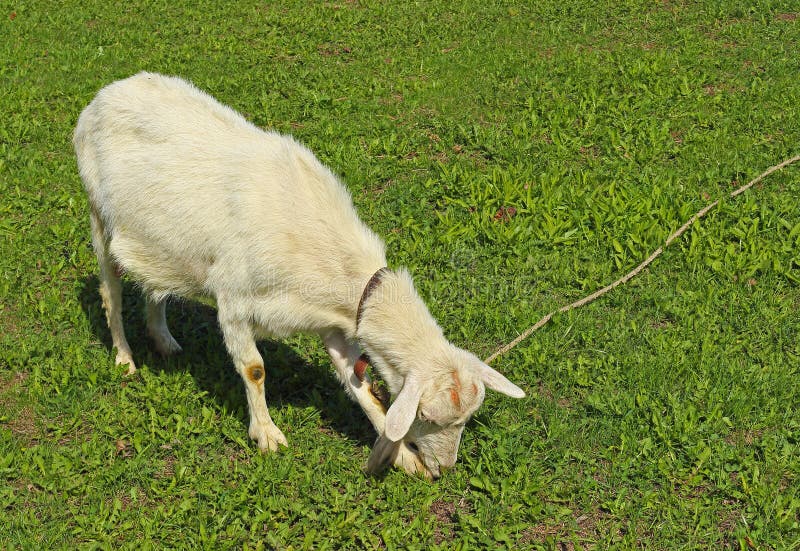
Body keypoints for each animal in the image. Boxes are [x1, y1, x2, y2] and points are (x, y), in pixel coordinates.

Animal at [73, 72, 525, 479]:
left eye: (467, 418)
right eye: (428, 415)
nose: (445, 468)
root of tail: (107, 92)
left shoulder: (332, 322)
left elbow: (360, 383)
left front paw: (402, 456)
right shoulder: (233, 301)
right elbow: (254, 369)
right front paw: (267, 435)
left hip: (158, 244)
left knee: (153, 286)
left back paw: (164, 341)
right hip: (97, 212)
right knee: (110, 291)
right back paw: (125, 358)